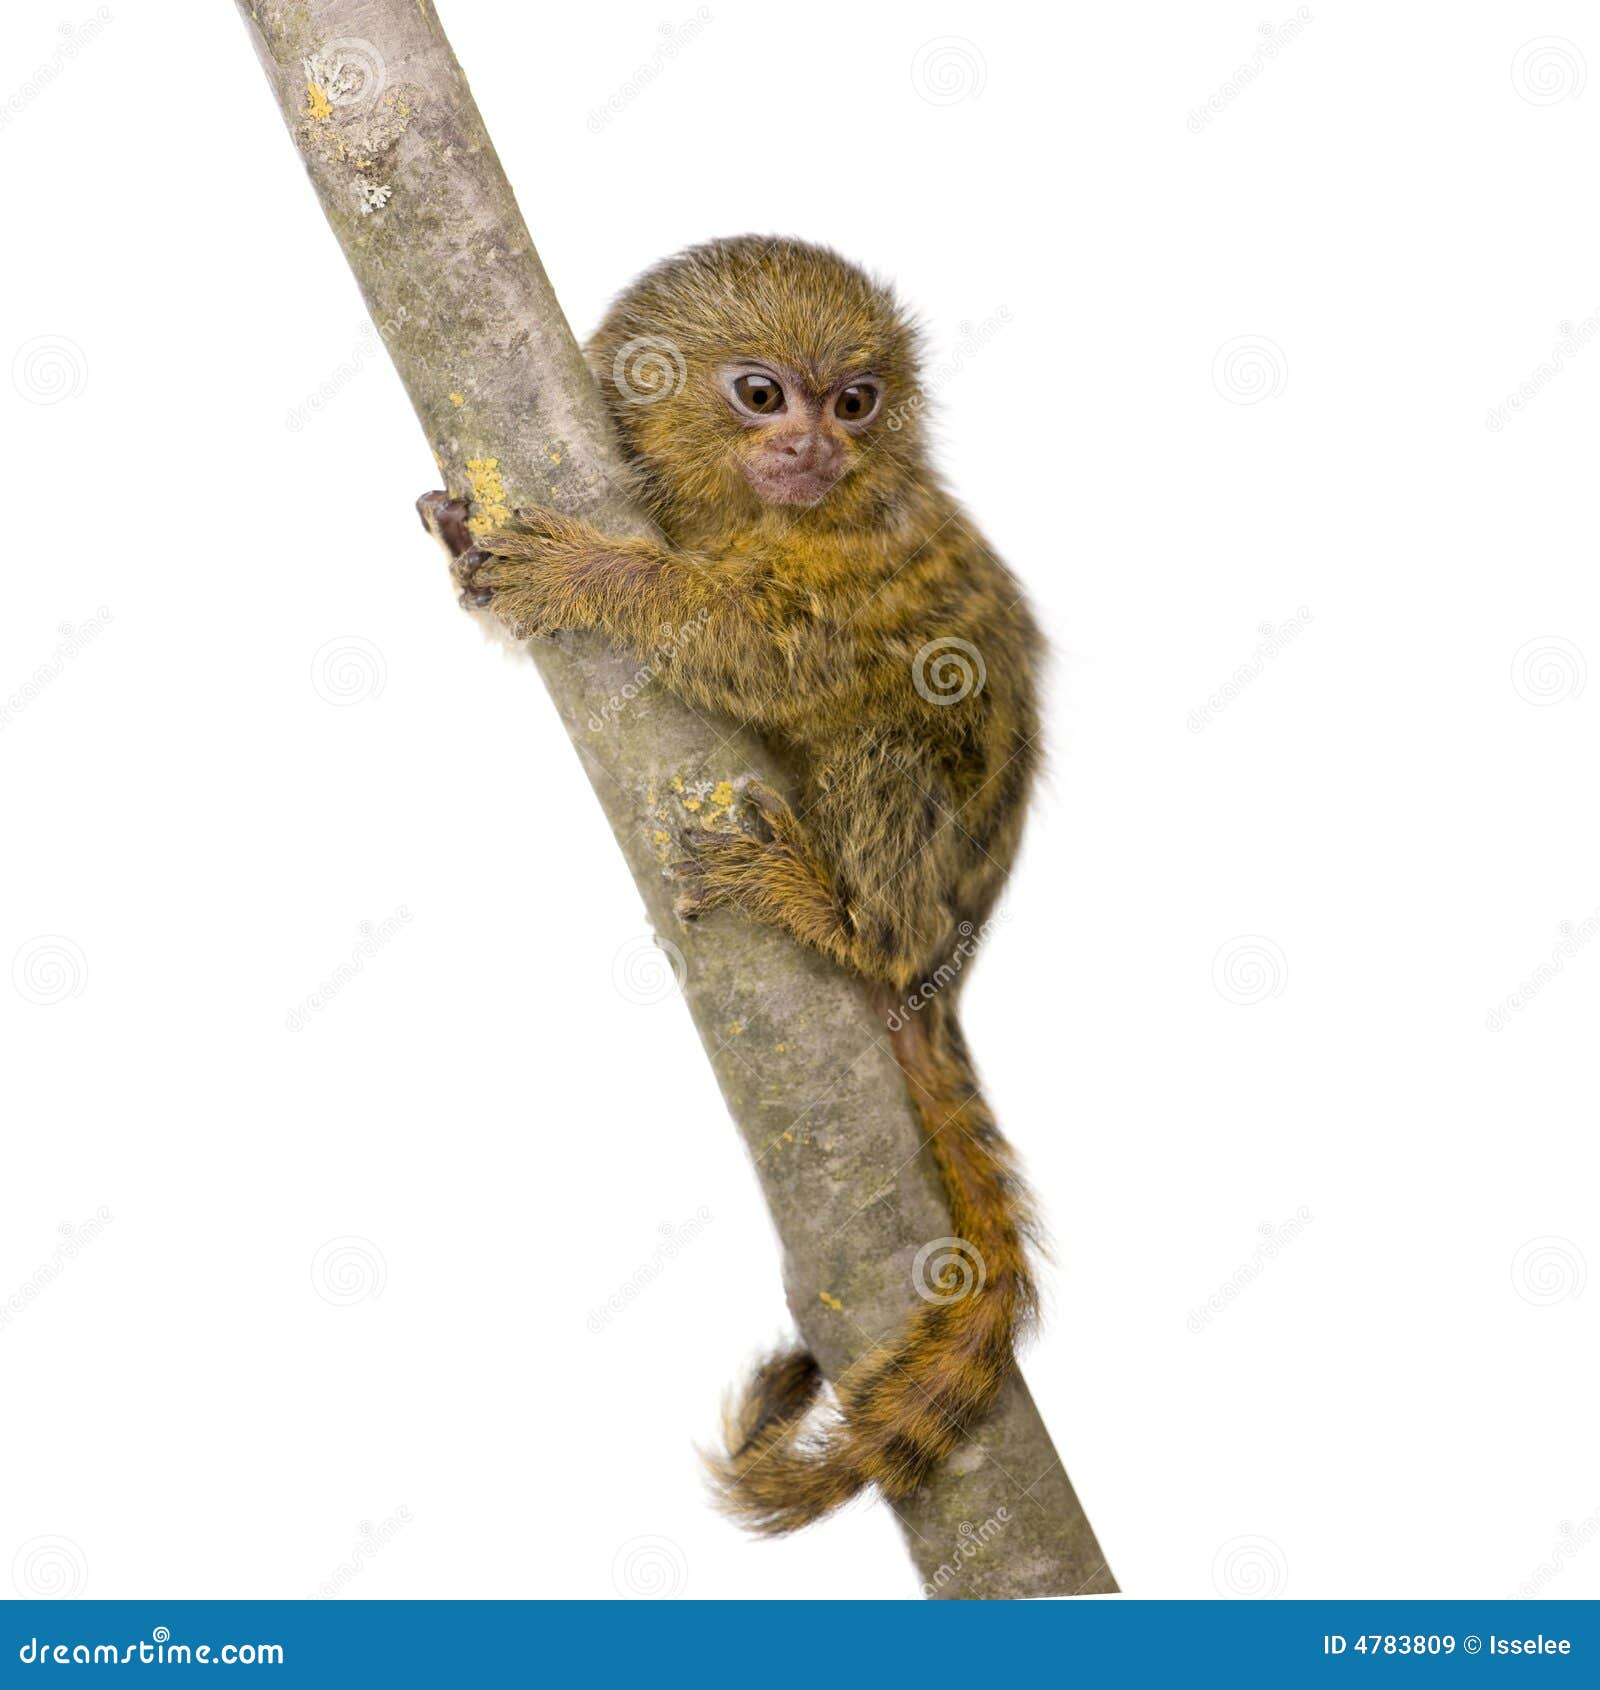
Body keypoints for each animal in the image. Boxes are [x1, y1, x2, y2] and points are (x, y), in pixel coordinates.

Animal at [418, 236, 1044, 1535]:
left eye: (855, 403)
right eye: (762, 395)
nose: (816, 447)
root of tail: (947, 969)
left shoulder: (850, 562)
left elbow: (760, 643)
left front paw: (596, 572)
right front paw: (458, 532)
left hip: (913, 885)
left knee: (888, 746)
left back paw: (829, 912)